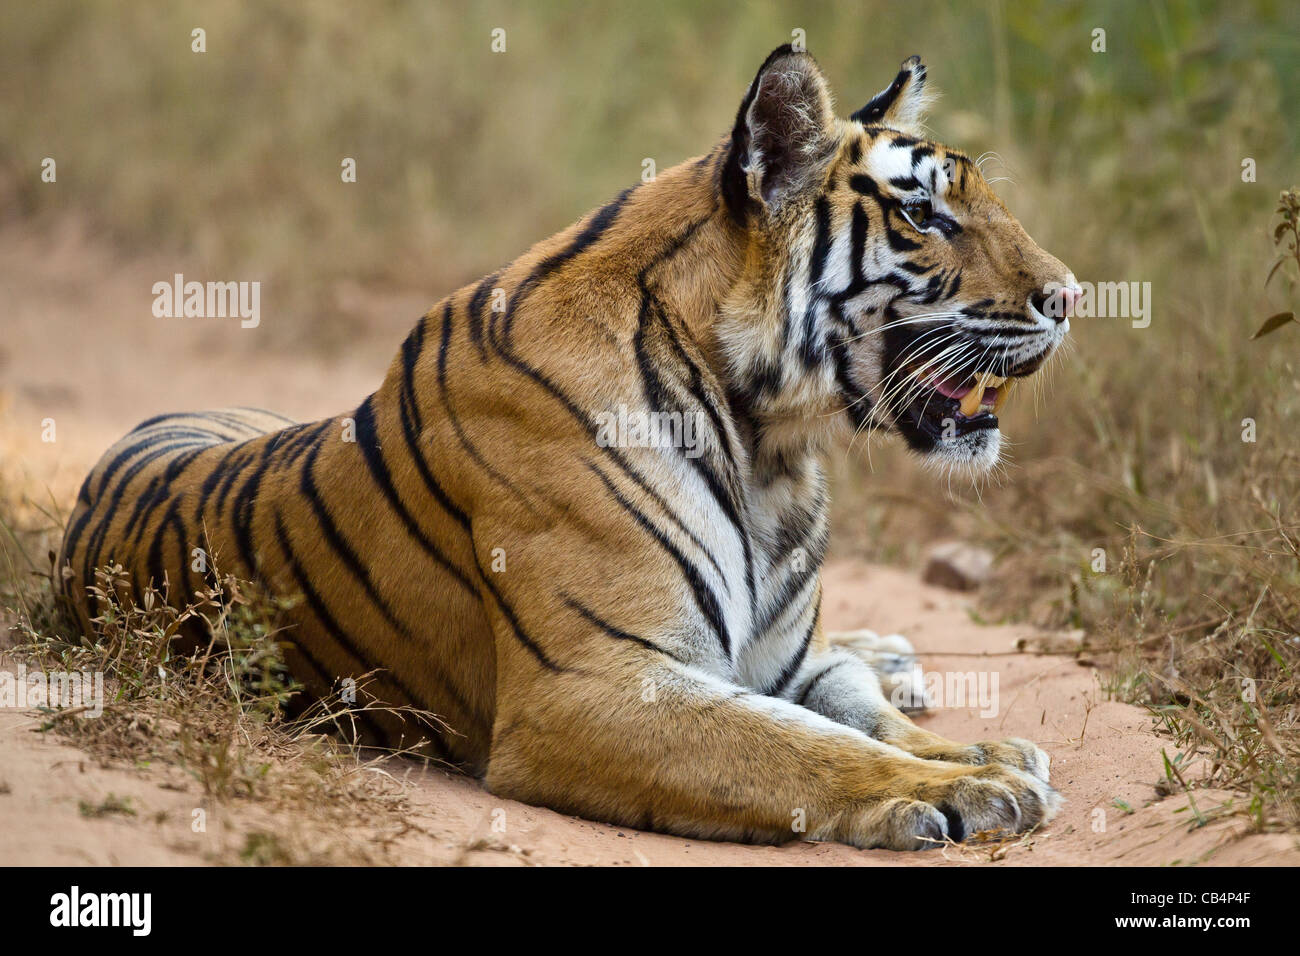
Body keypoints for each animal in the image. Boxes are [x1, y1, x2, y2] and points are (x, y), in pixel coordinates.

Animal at [59, 46, 1081, 850]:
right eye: (925, 216)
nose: (1072, 297)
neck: (769, 448)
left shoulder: (795, 661)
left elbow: (855, 710)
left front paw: (982, 749)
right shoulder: (593, 688)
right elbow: (802, 746)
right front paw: (972, 785)